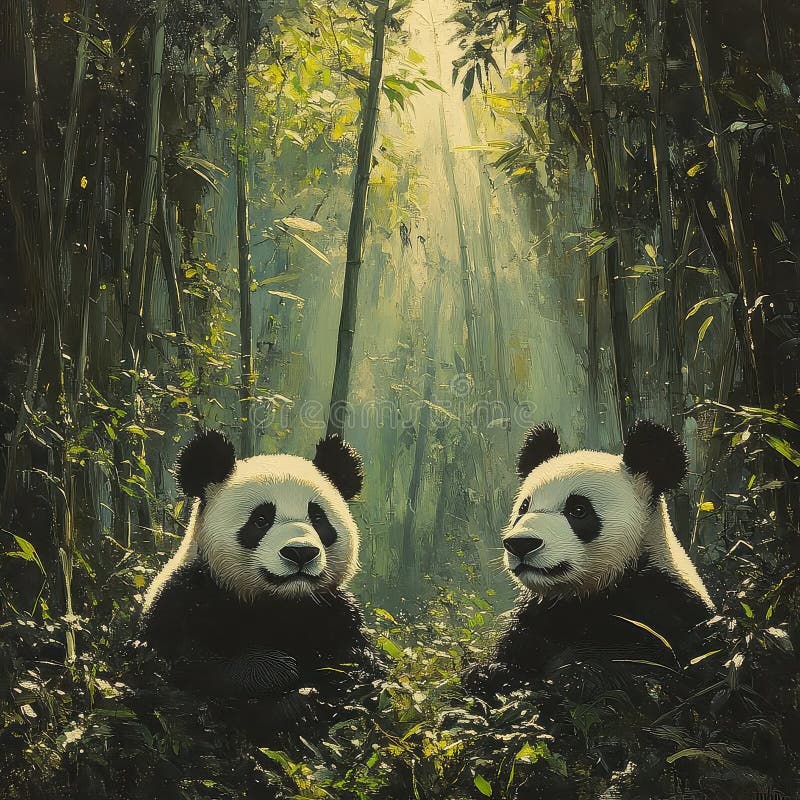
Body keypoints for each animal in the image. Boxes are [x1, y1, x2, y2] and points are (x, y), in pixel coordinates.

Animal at [138, 429, 375, 706]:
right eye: (261, 520)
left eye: (318, 519)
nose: (300, 552)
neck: (278, 603)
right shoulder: (184, 601)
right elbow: (186, 666)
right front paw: (277, 668)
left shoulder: (333, 611)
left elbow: (359, 667)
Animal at [463, 419, 715, 696]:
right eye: (524, 508)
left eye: (578, 510)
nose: (520, 544)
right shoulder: (538, 617)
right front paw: (489, 673)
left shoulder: (663, 609)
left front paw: (581, 676)